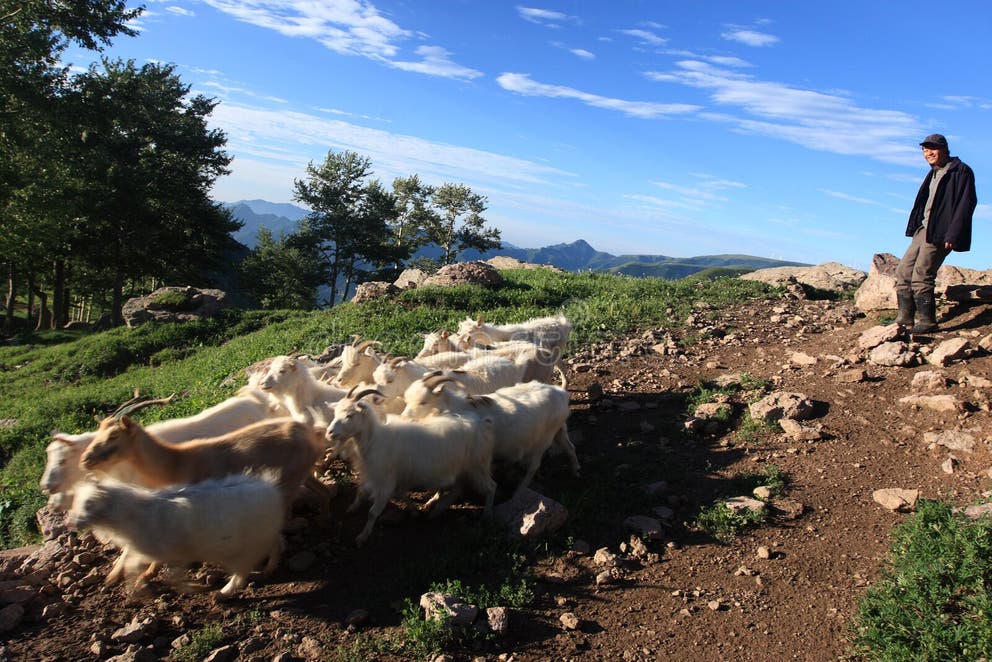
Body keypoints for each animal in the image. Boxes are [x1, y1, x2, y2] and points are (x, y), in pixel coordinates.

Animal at [69, 472, 284, 597]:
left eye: (89, 503)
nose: (71, 523)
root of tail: (271, 489)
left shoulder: (169, 553)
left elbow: (170, 577)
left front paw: (190, 588)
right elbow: (132, 565)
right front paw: (132, 586)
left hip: (246, 544)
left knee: (242, 570)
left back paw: (224, 592)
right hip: (264, 534)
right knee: (277, 543)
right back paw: (268, 568)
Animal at [326, 389, 496, 546]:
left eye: (350, 415)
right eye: (335, 413)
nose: (329, 433)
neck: (376, 439)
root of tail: (483, 423)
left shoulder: (385, 479)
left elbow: (373, 512)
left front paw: (362, 537)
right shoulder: (377, 476)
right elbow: (366, 492)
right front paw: (352, 508)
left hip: (477, 466)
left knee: (491, 487)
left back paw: (486, 516)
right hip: (462, 468)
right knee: (457, 489)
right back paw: (435, 510)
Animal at [401, 376, 580, 497]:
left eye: (423, 402)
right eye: (407, 400)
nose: (403, 419)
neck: (455, 407)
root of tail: (562, 393)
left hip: (543, 441)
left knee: (534, 465)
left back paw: (519, 491)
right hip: (559, 429)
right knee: (570, 447)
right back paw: (576, 471)